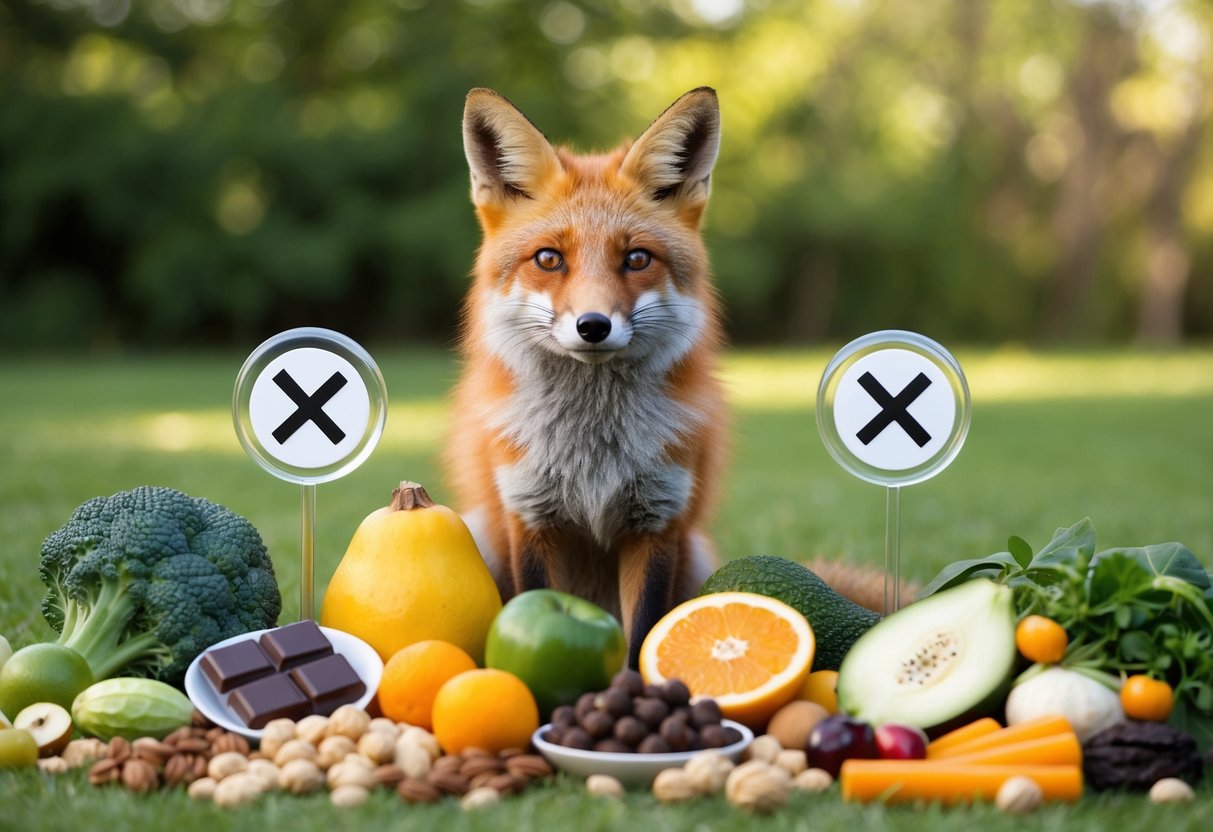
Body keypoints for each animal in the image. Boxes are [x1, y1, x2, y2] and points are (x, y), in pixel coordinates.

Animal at [445, 87, 728, 667]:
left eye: (637, 258)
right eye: (549, 259)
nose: (593, 326)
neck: (592, 450)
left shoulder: (657, 524)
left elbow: (643, 639)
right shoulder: (530, 519)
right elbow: (532, 603)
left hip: (695, 553)